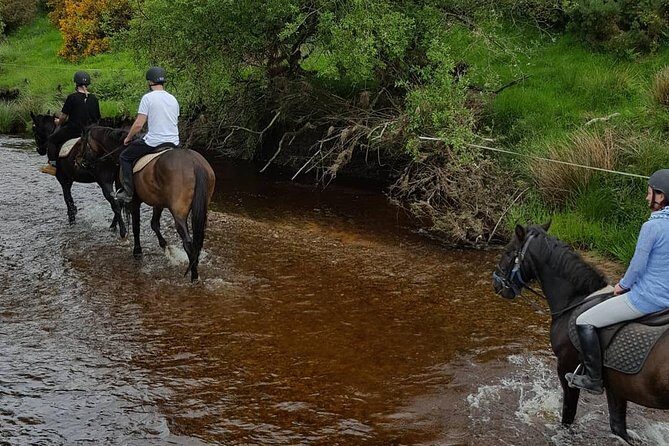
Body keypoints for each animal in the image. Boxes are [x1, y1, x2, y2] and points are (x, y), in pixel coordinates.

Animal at [80, 126, 216, 282]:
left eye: (83, 142)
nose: (81, 161)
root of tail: (194, 163)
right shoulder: (158, 203)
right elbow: (154, 224)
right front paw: (167, 248)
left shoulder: (135, 201)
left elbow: (136, 227)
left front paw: (137, 251)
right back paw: (194, 263)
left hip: (178, 213)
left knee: (188, 242)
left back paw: (194, 276)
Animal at [492, 222, 669, 442]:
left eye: (508, 252)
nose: (496, 284)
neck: (575, 300)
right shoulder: (616, 386)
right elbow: (618, 428)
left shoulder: (565, 367)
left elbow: (568, 414)